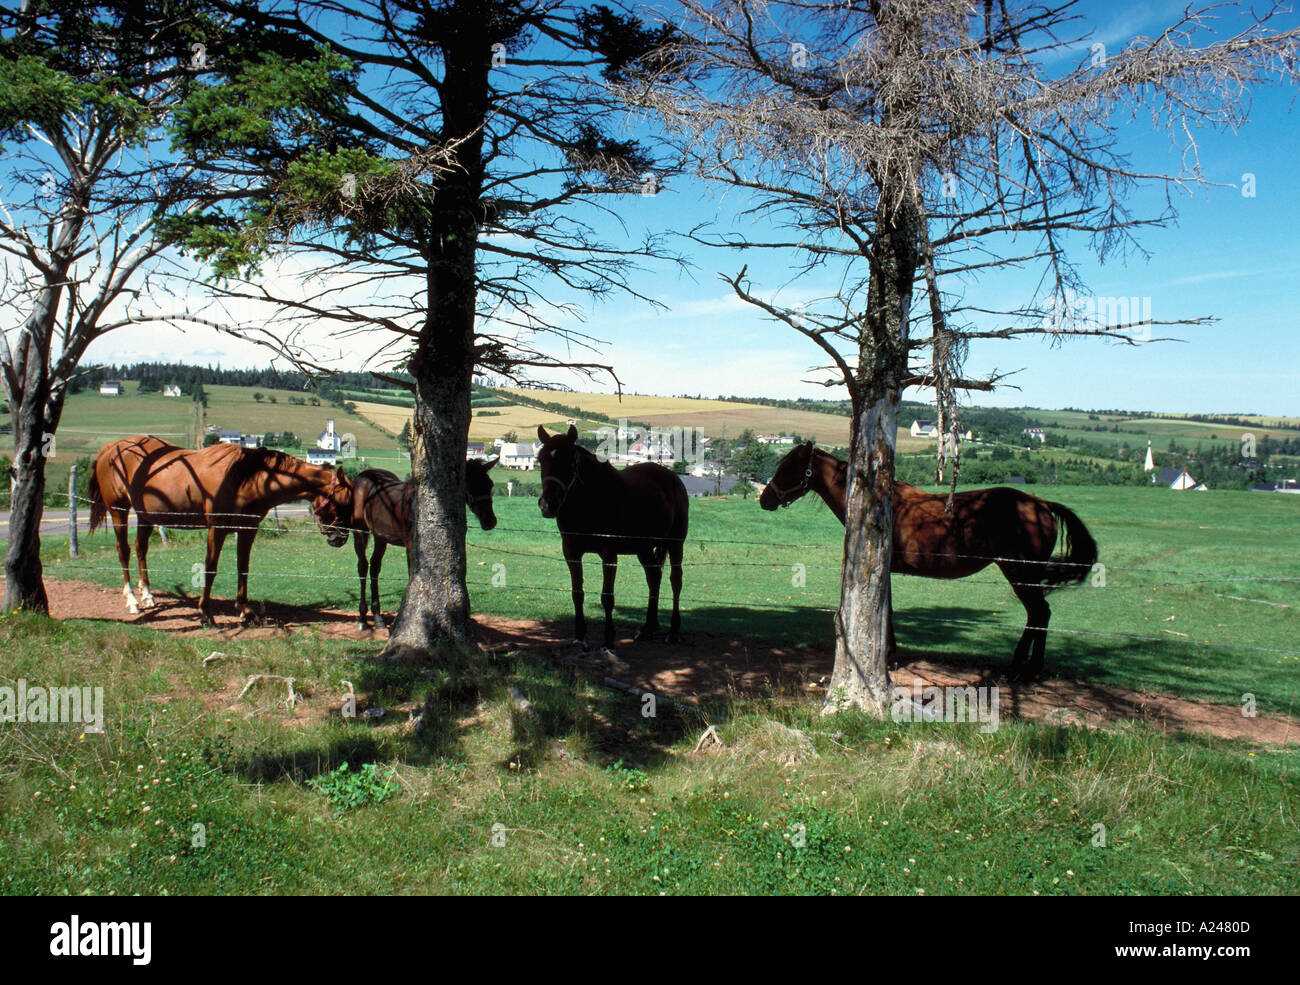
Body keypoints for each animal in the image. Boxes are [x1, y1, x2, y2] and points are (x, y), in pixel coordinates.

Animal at [88, 435, 353, 625]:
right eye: (343, 501)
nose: (340, 538)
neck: (246, 478)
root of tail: (111, 448)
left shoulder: (247, 529)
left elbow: (243, 568)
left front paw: (246, 611)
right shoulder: (217, 529)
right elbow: (210, 569)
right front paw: (206, 614)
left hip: (145, 516)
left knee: (141, 549)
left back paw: (148, 596)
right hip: (119, 511)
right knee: (123, 551)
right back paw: (132, 600)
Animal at [349, 457, 499, 630]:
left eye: (490, 484)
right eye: (472, 484)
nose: (490, 521)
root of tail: (362, 477)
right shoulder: (410, 546)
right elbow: (411, 575)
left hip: (380, 537)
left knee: (374, 567)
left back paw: (378, 617)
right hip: (359, 531)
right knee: (362, 566)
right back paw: (362, 618)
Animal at [536, 424, 689, 650]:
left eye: (569, 461)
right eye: (541, 459)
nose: (548, 504)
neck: (590, 499)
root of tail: (673, 478)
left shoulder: (608, 555)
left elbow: (607, 597)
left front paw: (608, 639)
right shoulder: (571, 553)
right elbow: (577, 593)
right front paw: (580, 636)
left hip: (675, 543)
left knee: (675, 580)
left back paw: (674, 632)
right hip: (643, 548)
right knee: (654, 577)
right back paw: (648, 628)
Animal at [760, 441, 1097, 677]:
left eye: (788, 466)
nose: (765, 499)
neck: (876, 506)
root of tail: (1041, 505)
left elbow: (887, 610)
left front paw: (889, 655)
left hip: (1020, 574)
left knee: (1039, 614)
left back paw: (1024, 668)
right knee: (1038, 615)